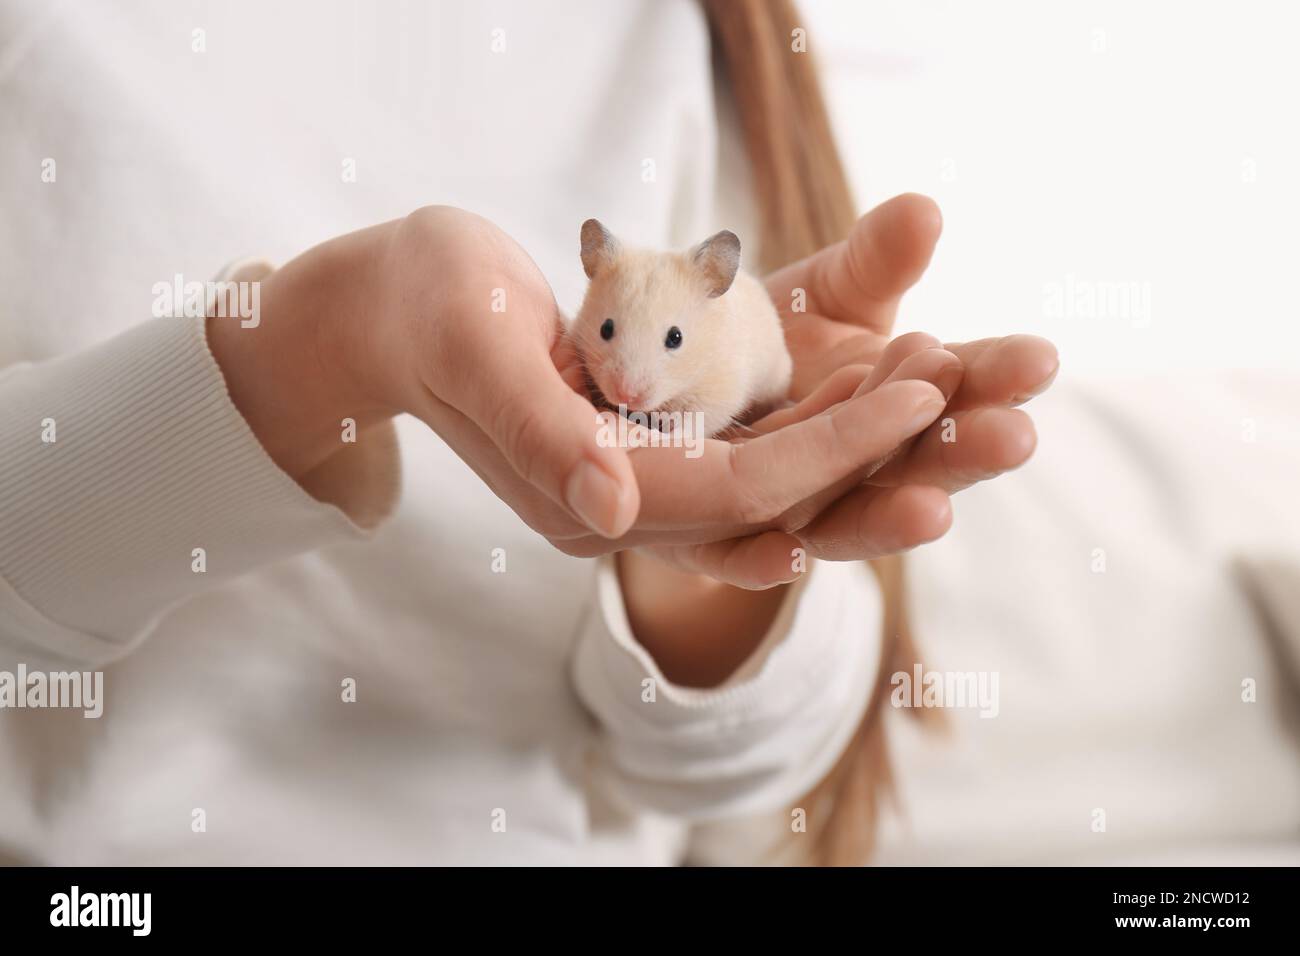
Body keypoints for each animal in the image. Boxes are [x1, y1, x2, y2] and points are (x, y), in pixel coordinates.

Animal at [569, 219, 793, 438]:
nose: (627, 396)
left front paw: (666, 433)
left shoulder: (718, 392)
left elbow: (693, 422)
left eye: (676, 337)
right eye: (605, 329)